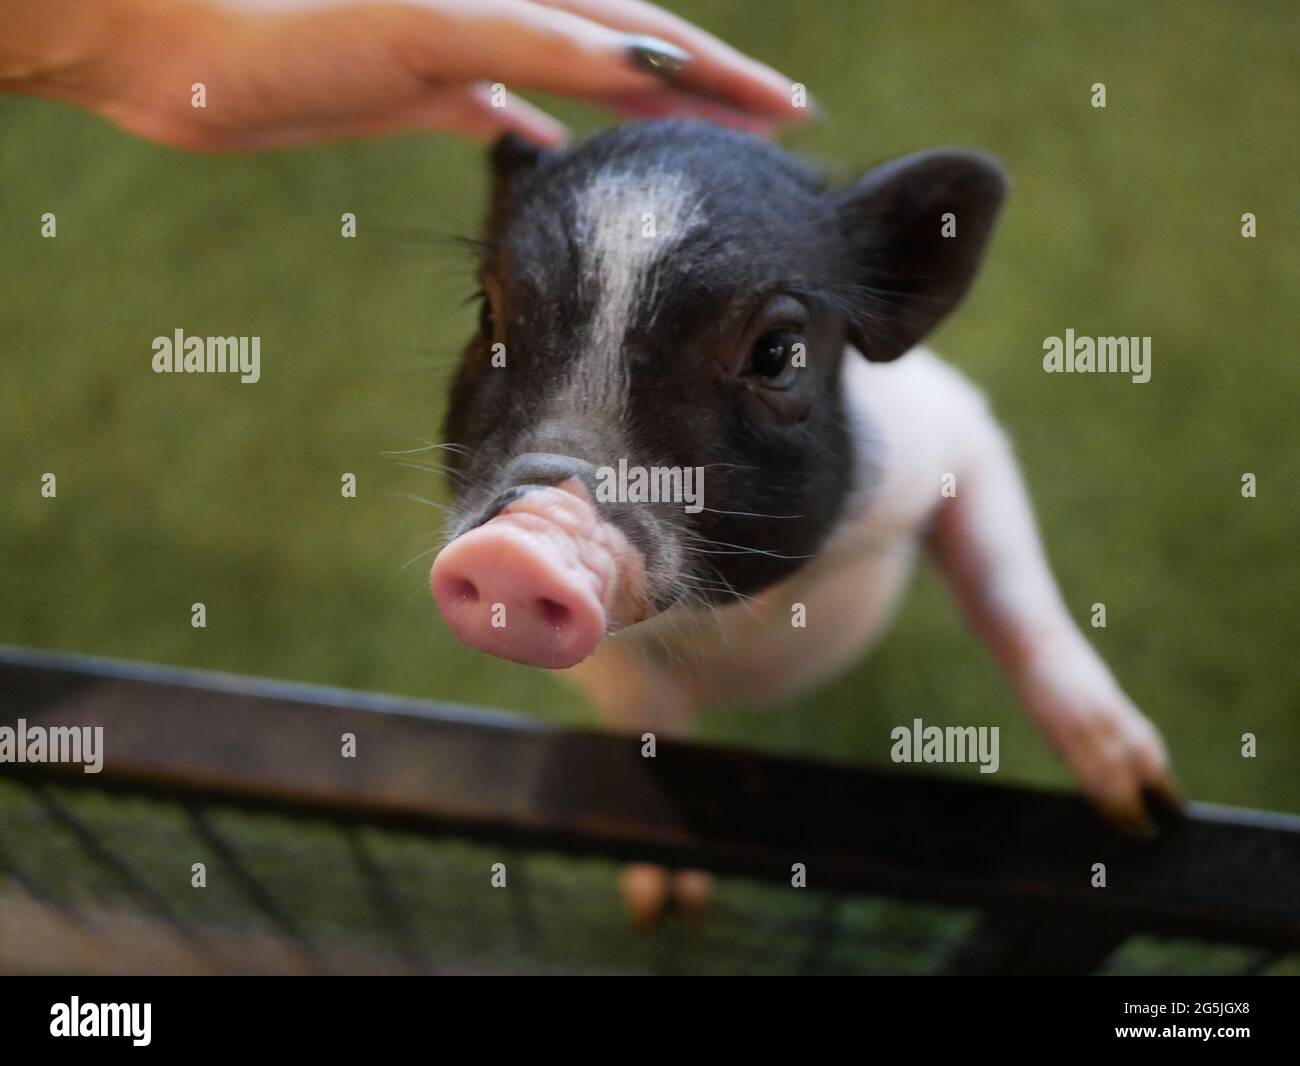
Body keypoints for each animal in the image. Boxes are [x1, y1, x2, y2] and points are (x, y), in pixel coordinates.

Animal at [429, 120, 1179, 915]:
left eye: (776, 353)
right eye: (487, 315)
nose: (517, 544)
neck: (740, 621)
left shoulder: (957, 434)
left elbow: (1012, 596)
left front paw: (1149, 809)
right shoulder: (621, 665)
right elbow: (649, 725)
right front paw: (668, 908)